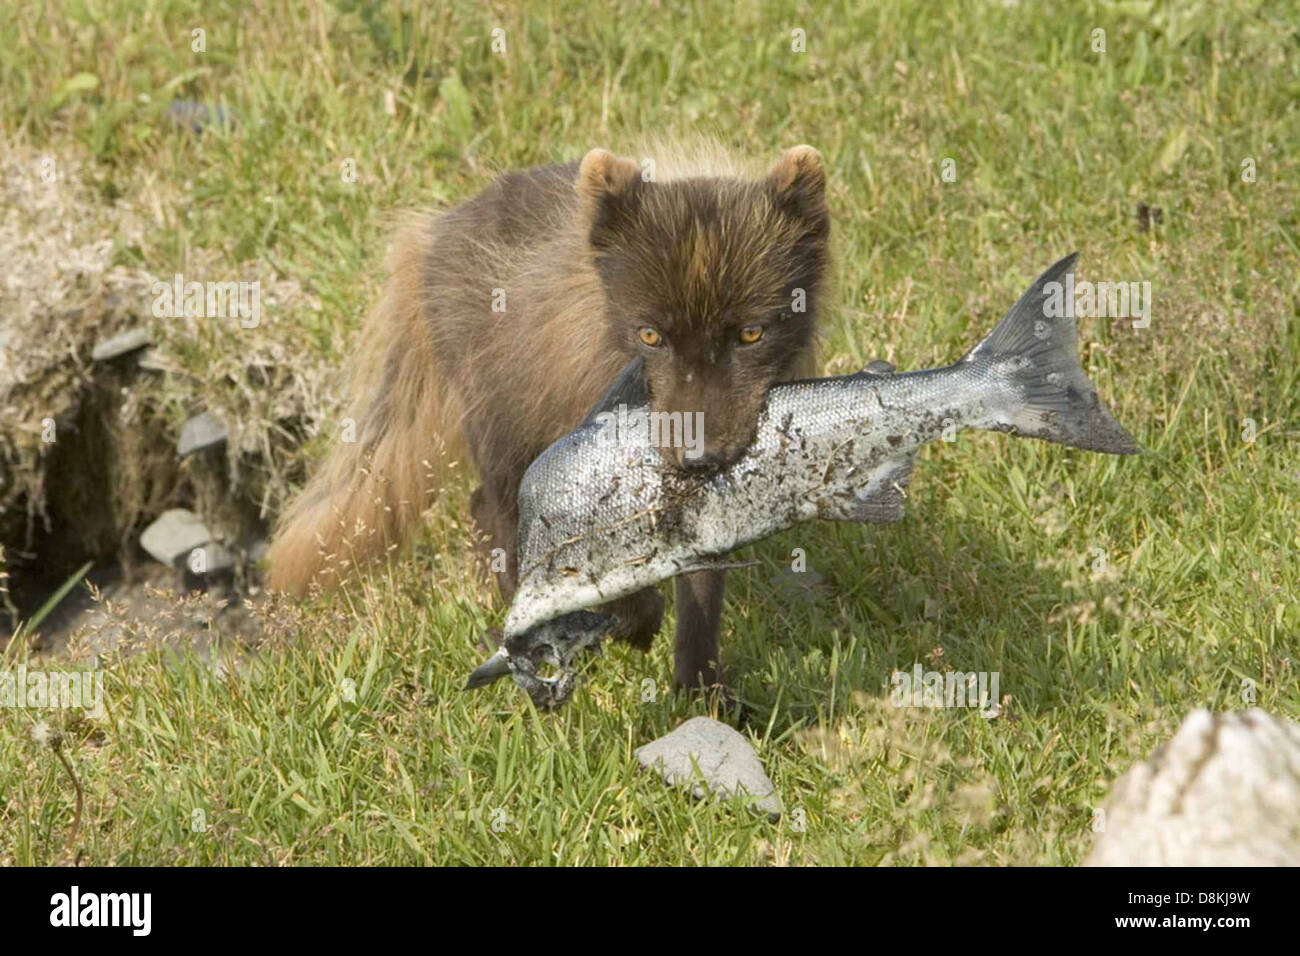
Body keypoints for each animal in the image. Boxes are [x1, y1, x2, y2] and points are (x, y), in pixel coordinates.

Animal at [267, 140, 832, 692]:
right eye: (650, 335)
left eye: (751, 334)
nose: (698, 458)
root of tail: (433, 234)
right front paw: (630, 620)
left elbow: (700, 590)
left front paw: (701, 691)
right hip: (500, 429)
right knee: (494, 511)